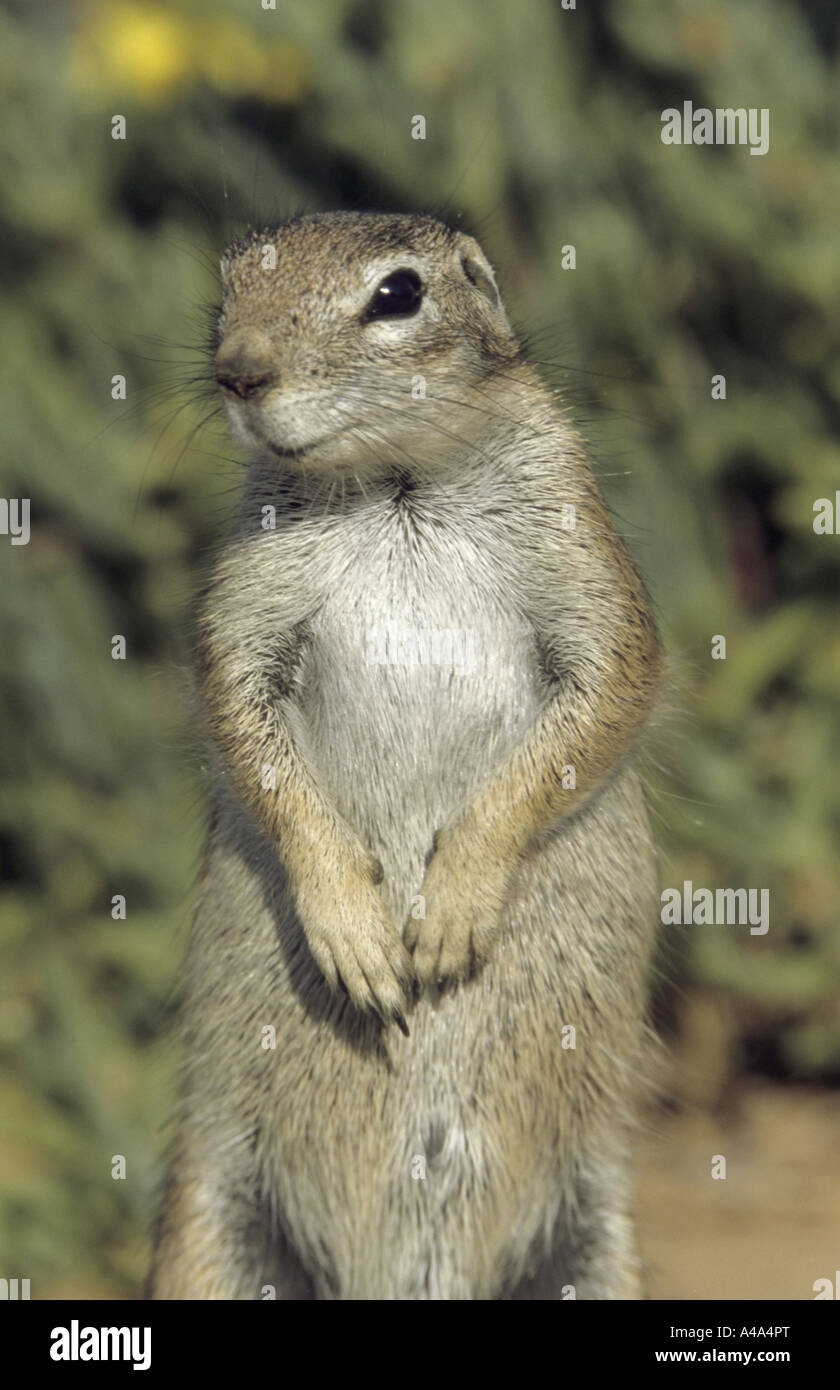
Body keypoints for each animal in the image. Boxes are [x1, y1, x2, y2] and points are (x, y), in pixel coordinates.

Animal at [149, 211, 665, 1300]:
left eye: (398, 294)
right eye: (230, 283)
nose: (237, 371)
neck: (396, 484)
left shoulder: (583, 562)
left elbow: (611, 685)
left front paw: (453, 906)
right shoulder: (246, 603)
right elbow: (242, 724)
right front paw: (354, 933)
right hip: (210, 1235)